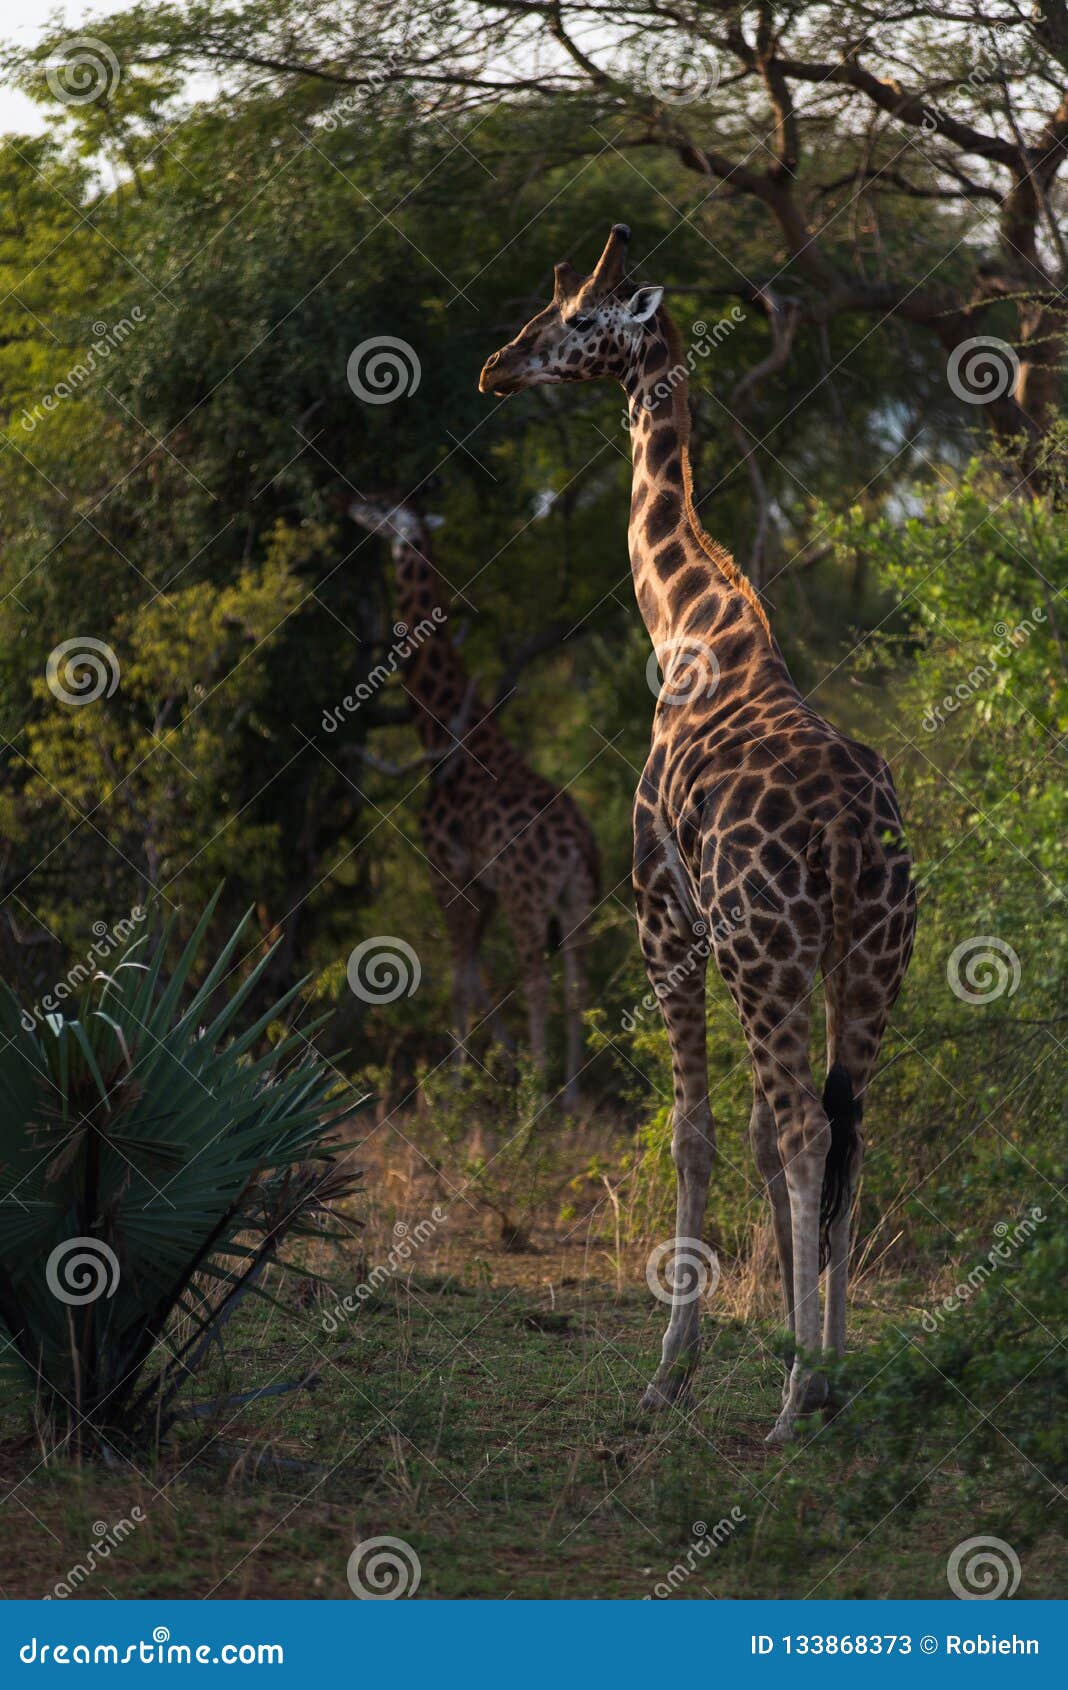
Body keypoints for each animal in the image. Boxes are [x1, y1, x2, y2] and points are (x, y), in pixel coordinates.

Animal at [349, 495, 600, 1112]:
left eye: (385, 509)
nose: (354, 507)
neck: (445, 733)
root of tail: (578, 844)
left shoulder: (447, 870)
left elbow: (459, 978)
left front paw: (457, 1091)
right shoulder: (481, 885)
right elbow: (477, 975)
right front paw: (500, 1065)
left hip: (527, 898)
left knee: (537, 980)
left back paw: (542, 1097)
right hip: (577, 896)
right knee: (578, 979)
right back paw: (572, 1096)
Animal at [479, 225, 916, 1441]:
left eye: (578, 317)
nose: (496, 367)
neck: (687, 630)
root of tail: (851, 836)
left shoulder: (663, 917)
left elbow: (697, 1131)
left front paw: (672, 1371)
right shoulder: (730, 943)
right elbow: (760, 1142)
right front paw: (785, 1342)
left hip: (772, 951)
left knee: (810, 1130)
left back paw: (795, 1403)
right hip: (869, 958)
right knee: (848, 1131)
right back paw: (828, 1379)